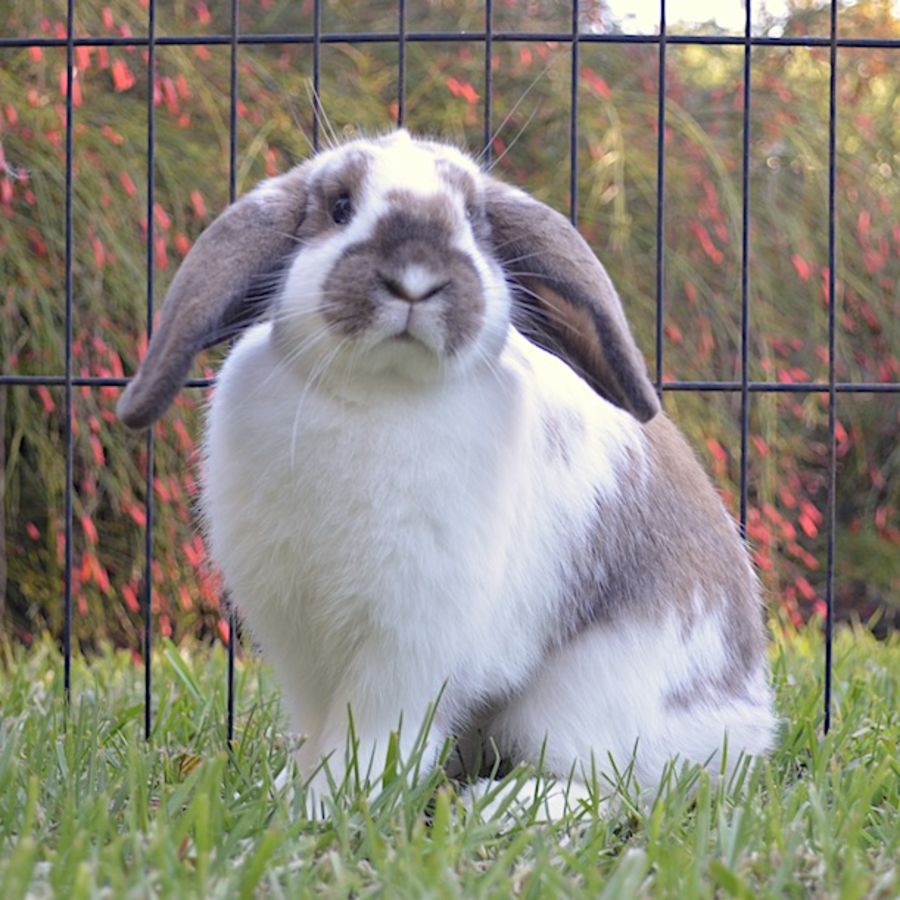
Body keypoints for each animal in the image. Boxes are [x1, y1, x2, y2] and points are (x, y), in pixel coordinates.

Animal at [117, 129, 776, 816]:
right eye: (339, 207)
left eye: (474, 221)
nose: (415, 279)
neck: (380, 393)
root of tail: (749, 731)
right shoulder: (302, 643)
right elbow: (319, 724)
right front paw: (291, 795)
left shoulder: (408, 644)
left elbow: (370, 732)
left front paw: (333, 804)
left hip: (589, 696)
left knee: (608, 787)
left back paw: (504, 807)